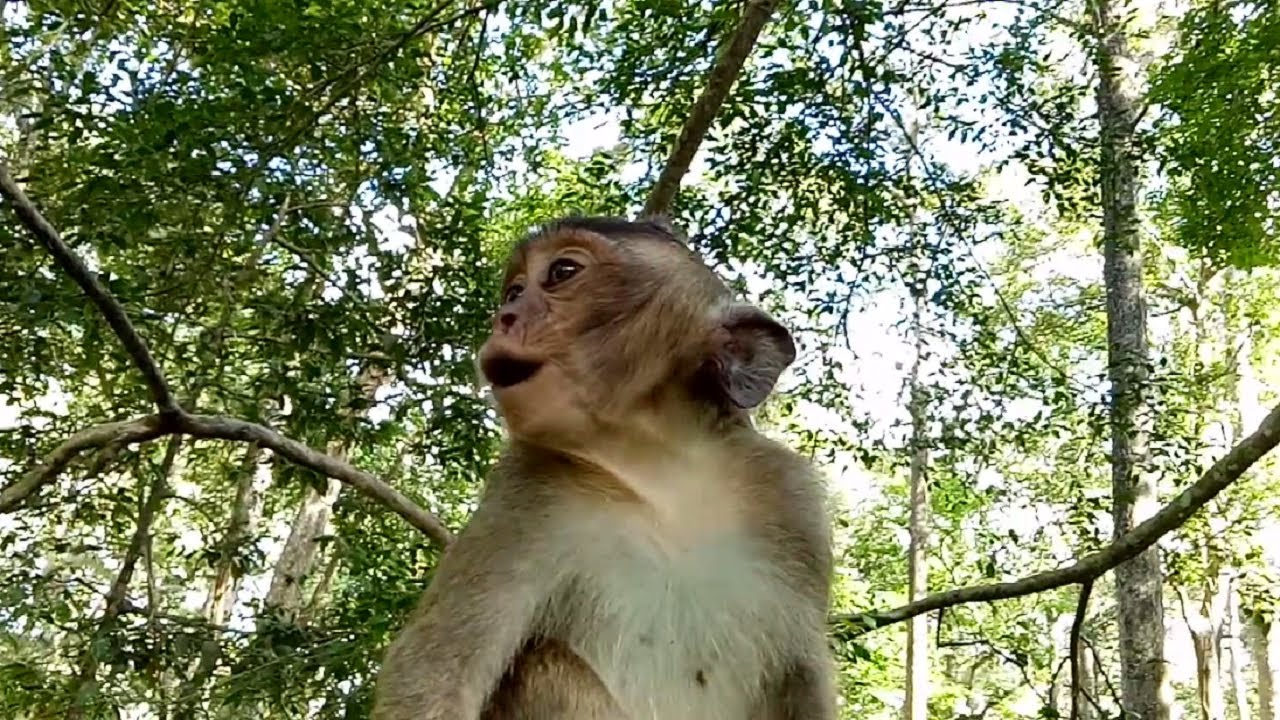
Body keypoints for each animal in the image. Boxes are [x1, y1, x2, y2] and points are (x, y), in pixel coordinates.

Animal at [372, 215, 836, 720]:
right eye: (514, 290)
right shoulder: (525, 490)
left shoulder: (789, 497)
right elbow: (435, 675)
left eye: (562, 272)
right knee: (543, 666)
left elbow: (803, 675)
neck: (662, 472)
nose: (505, 317)